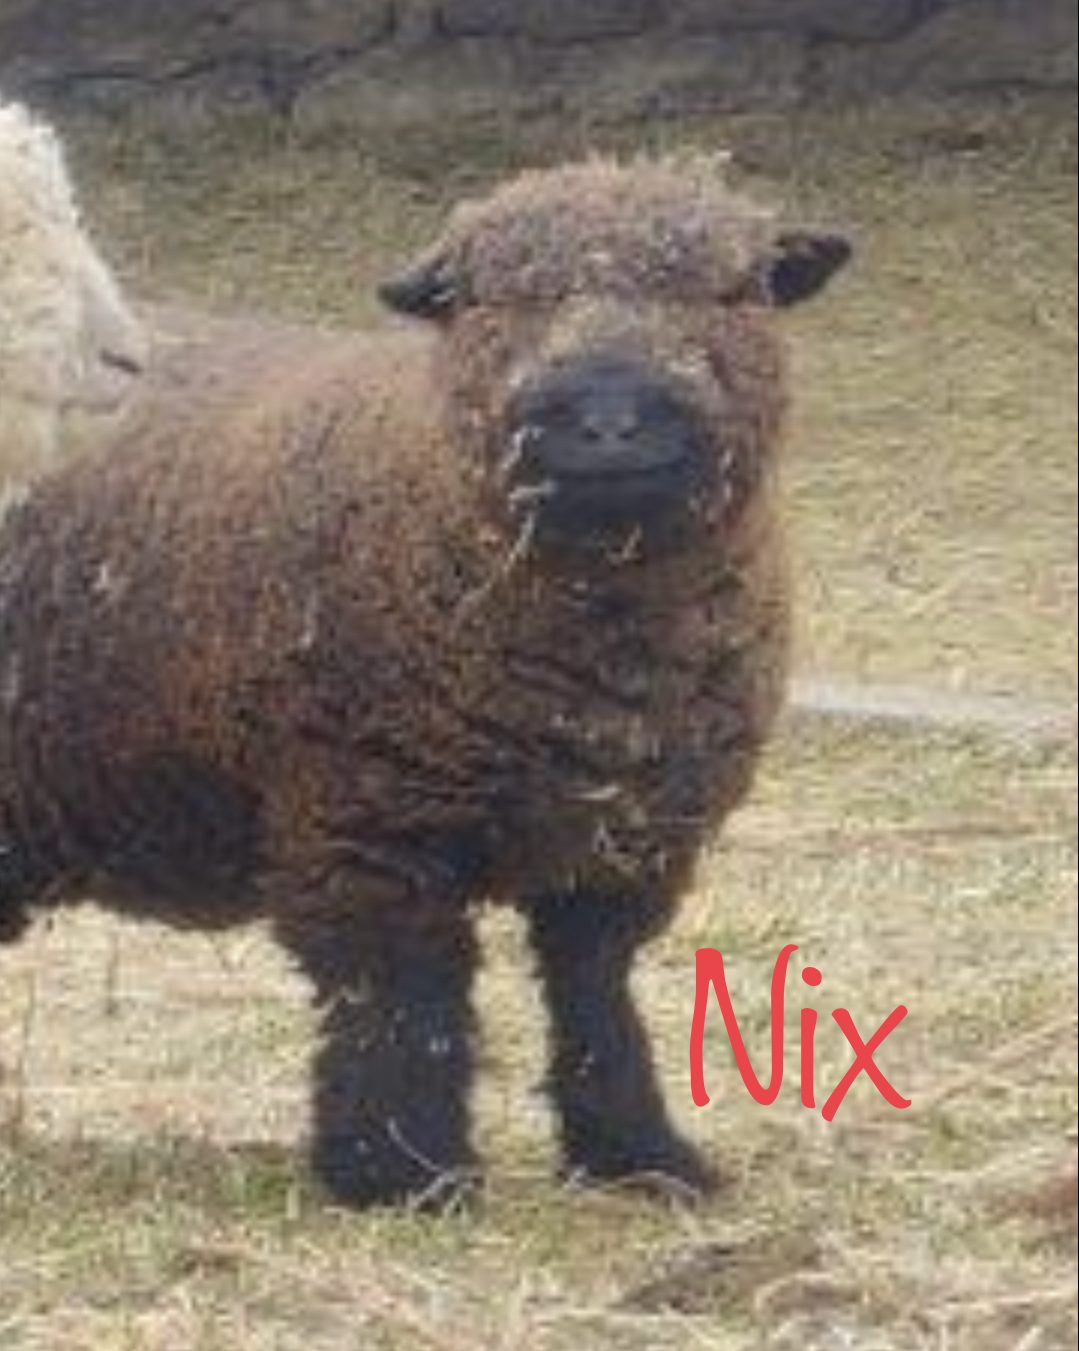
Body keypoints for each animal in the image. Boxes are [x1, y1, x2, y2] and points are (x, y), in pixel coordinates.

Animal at [0, 158, 850, 1208]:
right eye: (495, 297)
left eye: (734, 290)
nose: (608, 422)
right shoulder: (372, 827)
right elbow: (403, 1004)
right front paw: (402, 1175)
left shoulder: (627, 839)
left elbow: (594, 992)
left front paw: (637, 1151)